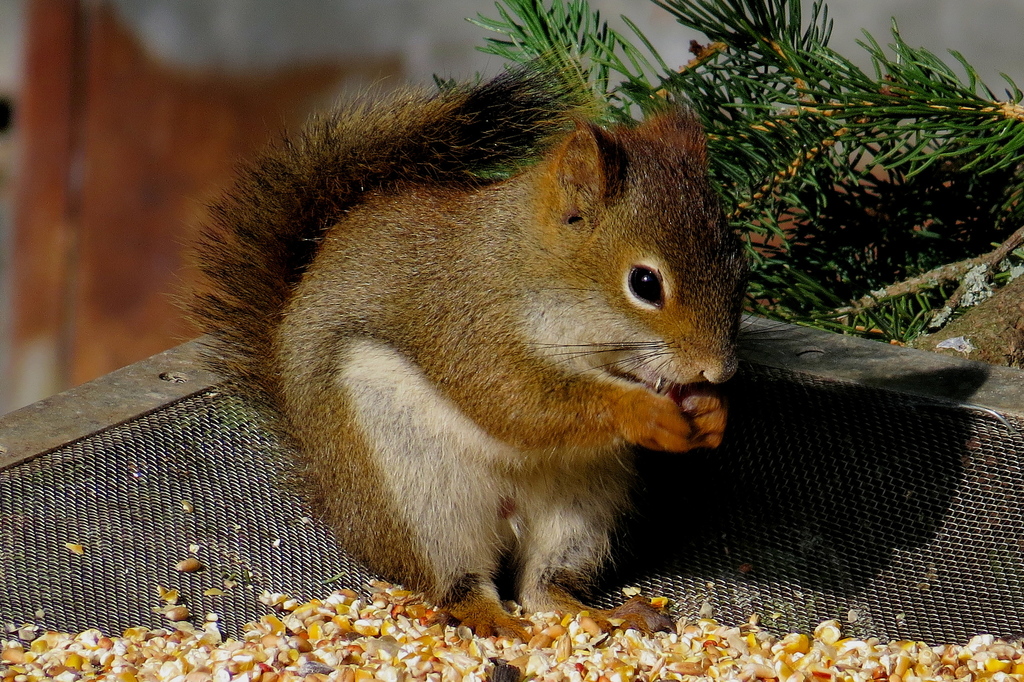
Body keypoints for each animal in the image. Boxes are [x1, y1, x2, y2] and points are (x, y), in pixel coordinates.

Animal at [189, 64, 746, 639]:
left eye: (740, 265)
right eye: (644, 283)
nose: (719, 370)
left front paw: (713, 412)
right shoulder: (467, 327)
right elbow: (518, 403)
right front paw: (644, 412)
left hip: (583, 510)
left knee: (544, 588)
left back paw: (604, 617)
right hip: (421, 497)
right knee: (459, 585)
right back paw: (499, 622)